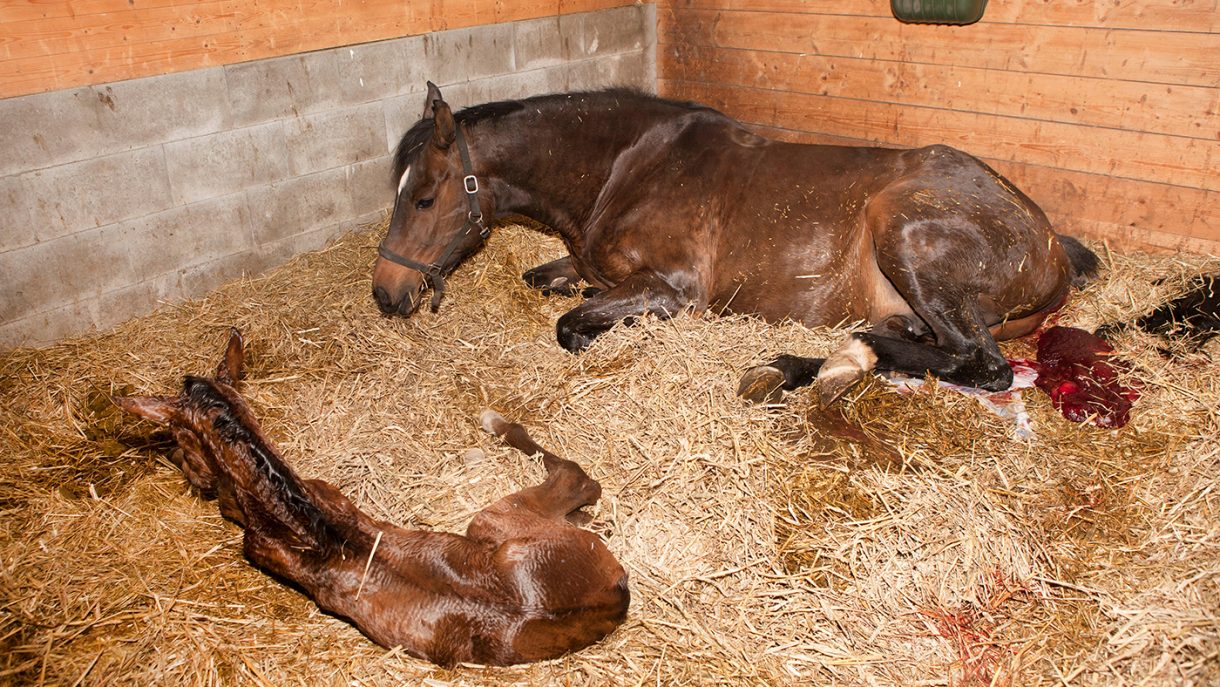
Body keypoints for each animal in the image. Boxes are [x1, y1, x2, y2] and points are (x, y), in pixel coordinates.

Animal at [112, 329, 628, 666]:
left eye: (180, 436)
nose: (187, 465)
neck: (305, 523)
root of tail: (615, 595)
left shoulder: (254, 543)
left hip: (489, 517)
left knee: (579, 476)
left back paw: (494, 421)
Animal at [373, 83, 1099, 406]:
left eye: (425, 197)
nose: (386, 293)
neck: (624, 168)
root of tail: (1050, 248)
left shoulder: (671, 288)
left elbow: (573, 327)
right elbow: (548, 283)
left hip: (904, 233)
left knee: (985, 365)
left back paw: (815, 362)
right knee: (928, 347)